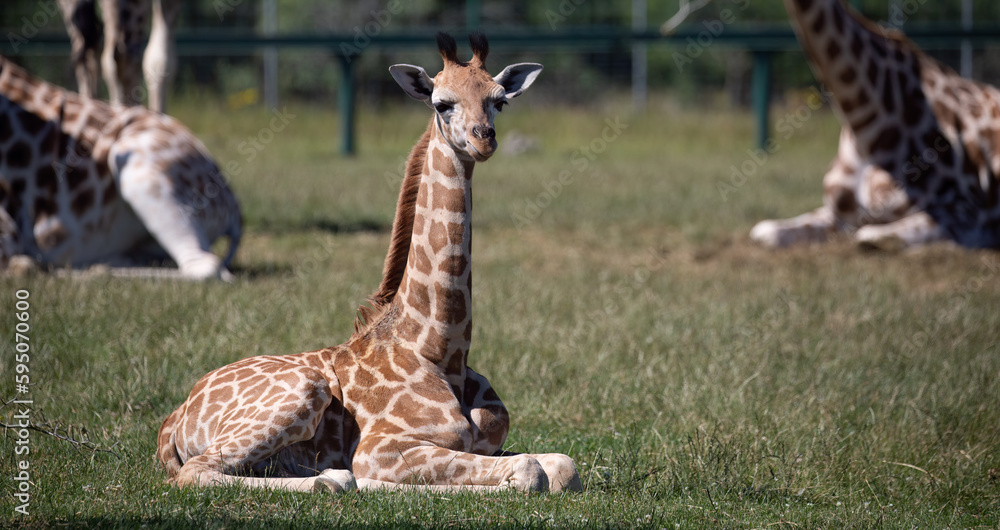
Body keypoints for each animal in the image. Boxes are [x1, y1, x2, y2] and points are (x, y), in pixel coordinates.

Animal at [156, 32, 580, 493]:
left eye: (499, 101)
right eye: (441, 103)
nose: (483, 139)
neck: (441, 351)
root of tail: (175, 415)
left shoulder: (488, 444)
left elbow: (562, 465)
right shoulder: (380, 449)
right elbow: (529, 471)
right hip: (302, 392)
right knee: (201, 473)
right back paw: (336, 481)